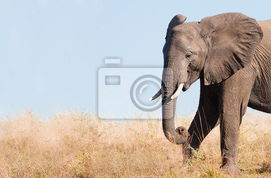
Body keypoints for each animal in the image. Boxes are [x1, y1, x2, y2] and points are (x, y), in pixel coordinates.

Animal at [151, 12, 271, 174]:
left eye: (189, 55)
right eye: (163, 53)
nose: (181, 129)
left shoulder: (244, 67)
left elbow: (229, 110)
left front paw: (229, 172)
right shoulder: (213, 65)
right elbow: (209, 111)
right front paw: (187, 169)